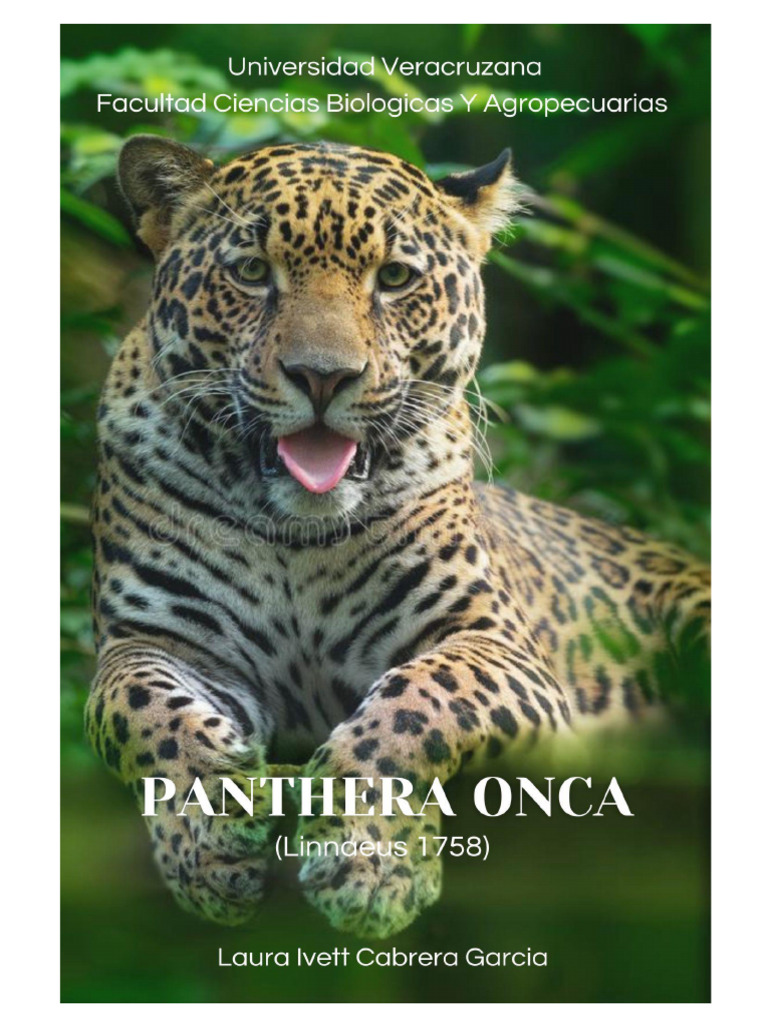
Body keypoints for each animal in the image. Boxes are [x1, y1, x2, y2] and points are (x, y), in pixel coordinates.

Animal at [85, 135, 710, 939]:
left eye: (394, 278)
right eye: (252, 272)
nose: (322, 377)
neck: (297, 535)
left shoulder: (490, 641)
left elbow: (417, 703)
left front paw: (368, 861)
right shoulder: (158, 642)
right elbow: (148, 713)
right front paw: (210, 840)